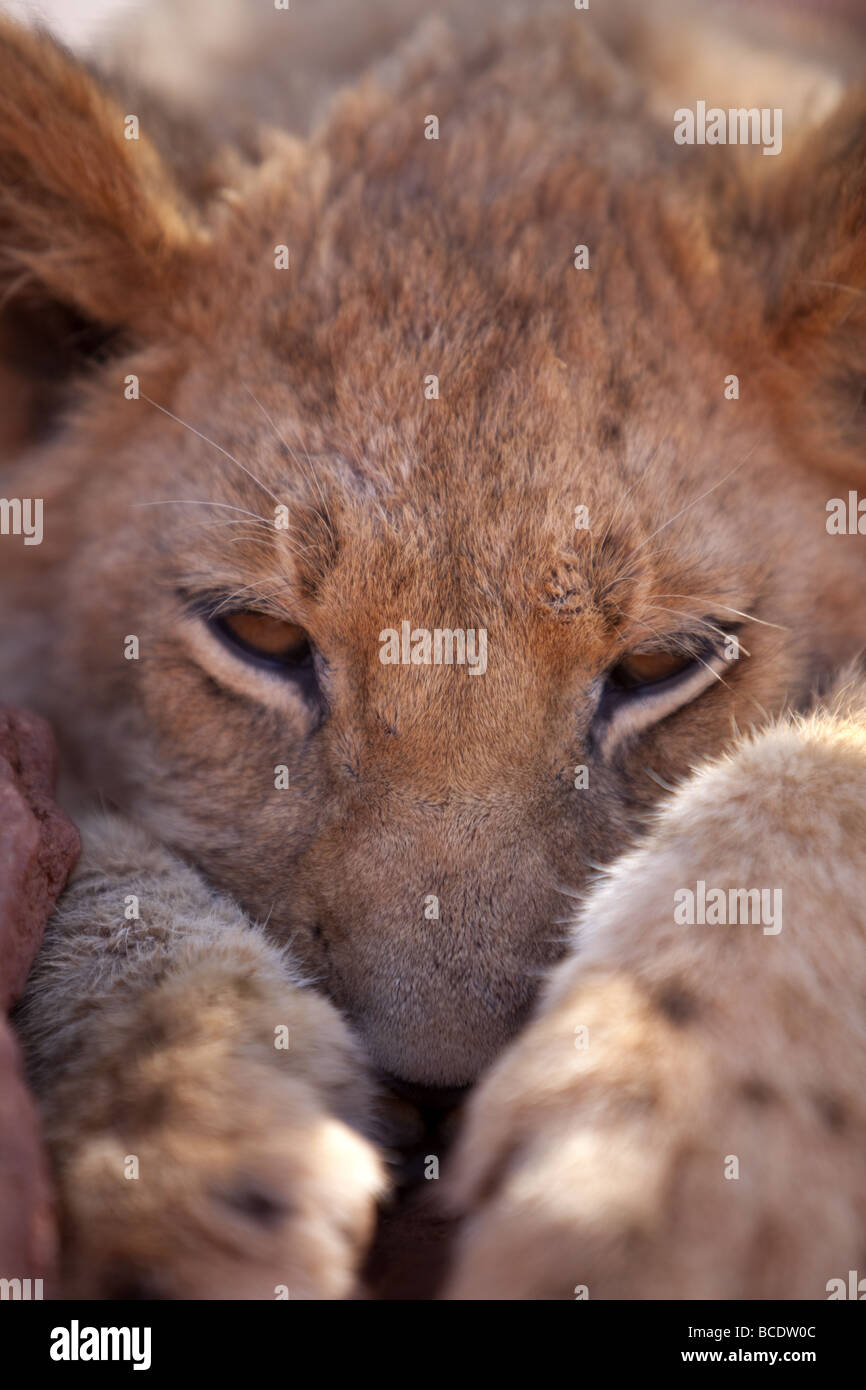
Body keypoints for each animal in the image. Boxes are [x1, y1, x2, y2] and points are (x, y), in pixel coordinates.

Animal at [1, 0, 865, 1299]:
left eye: (660, 667)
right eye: (259, 636)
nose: (438, 1092)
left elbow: (816, 778)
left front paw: (662, 1172)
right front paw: (183, 1141)